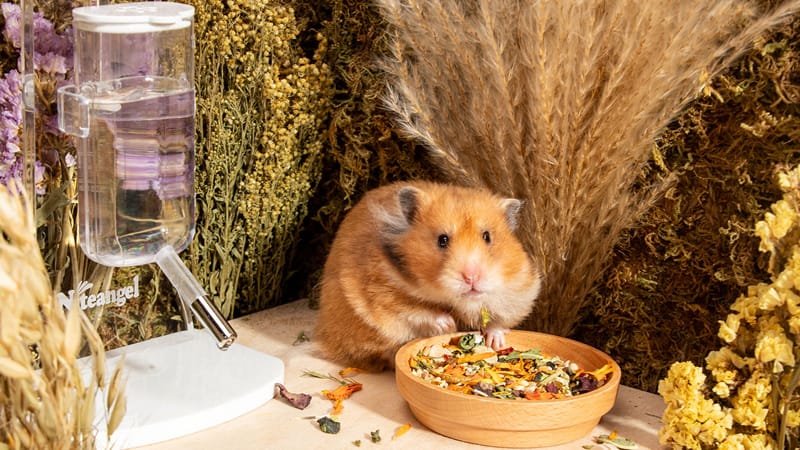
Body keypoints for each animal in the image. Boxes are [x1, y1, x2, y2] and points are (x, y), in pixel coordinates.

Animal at [314, 181, 542, 371]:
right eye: (442, 240)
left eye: (487, 237)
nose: (471, 278)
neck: (458, 301)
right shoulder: (383, 296)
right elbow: (418, 310)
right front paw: (448, 325)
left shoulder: (518, 293)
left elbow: (497, 320)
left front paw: (496, 341)